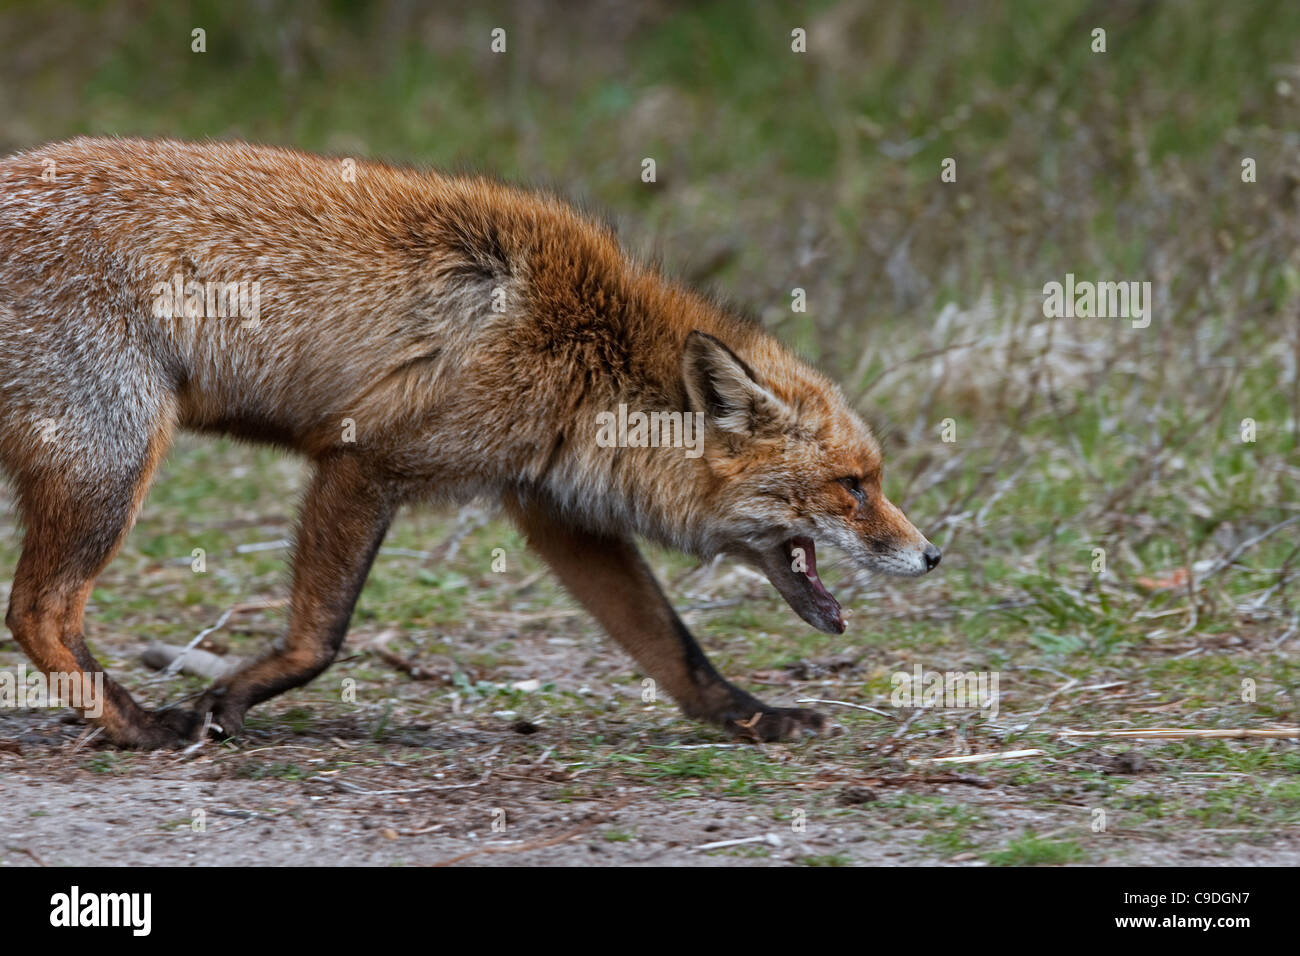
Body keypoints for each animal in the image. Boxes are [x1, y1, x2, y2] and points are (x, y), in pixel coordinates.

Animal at [0, 137, 940, 749]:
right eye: (856, 485)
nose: (932, 557)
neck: (590, 349)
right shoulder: (366, 462)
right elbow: (321, 638)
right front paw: (229, 698)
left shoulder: (554, 507)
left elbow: (674, 647)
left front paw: (749, 718)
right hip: (114, 461)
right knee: (38, 613)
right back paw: (140, 726)